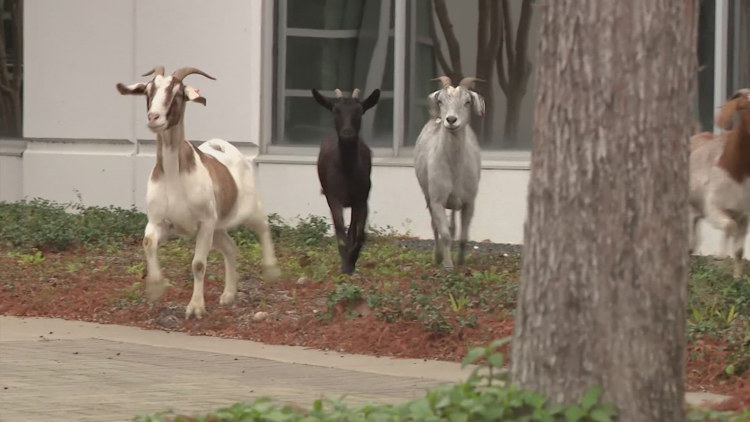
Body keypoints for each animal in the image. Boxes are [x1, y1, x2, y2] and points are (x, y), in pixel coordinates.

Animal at [116, 65, 280, 319]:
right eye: (148, 91)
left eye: (177, 93)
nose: (154, 118)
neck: (174, 176)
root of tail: (223, 144)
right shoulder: (162, 222)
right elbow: (147, 242)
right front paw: (155, 288)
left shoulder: (204, 222)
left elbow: (198, 264)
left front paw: (195, 307)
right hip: (218, 226)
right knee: (230, 247)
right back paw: (228, 294)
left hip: (247, 208)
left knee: (263, 227)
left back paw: (271, 270)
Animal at [312, 87, 380, 274]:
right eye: (335, 110)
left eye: (359, 111)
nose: (347, 134)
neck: (347, 175)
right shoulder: (333, 197)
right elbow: (340, 233)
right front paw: (345, 265)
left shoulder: (362, 198)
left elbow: (359, 235)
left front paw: (351, 262)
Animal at [414, 76, 485, 269]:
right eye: (440, 101)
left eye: (467, 101)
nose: (451, 120)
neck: (454, 168)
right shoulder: (437, 200)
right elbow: (443, 233)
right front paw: (447, 265)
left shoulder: (469, 202)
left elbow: (464, 236)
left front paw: (460, 261)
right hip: (428, 195)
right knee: (435, 226)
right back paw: (438, 256)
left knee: (452, 226)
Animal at [689, 88, 750, 277]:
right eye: (743, 107)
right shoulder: (713, 208)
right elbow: (730, 226)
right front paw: (720, 254)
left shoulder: (744, 214)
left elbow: (739, 251)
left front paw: (737, 278)